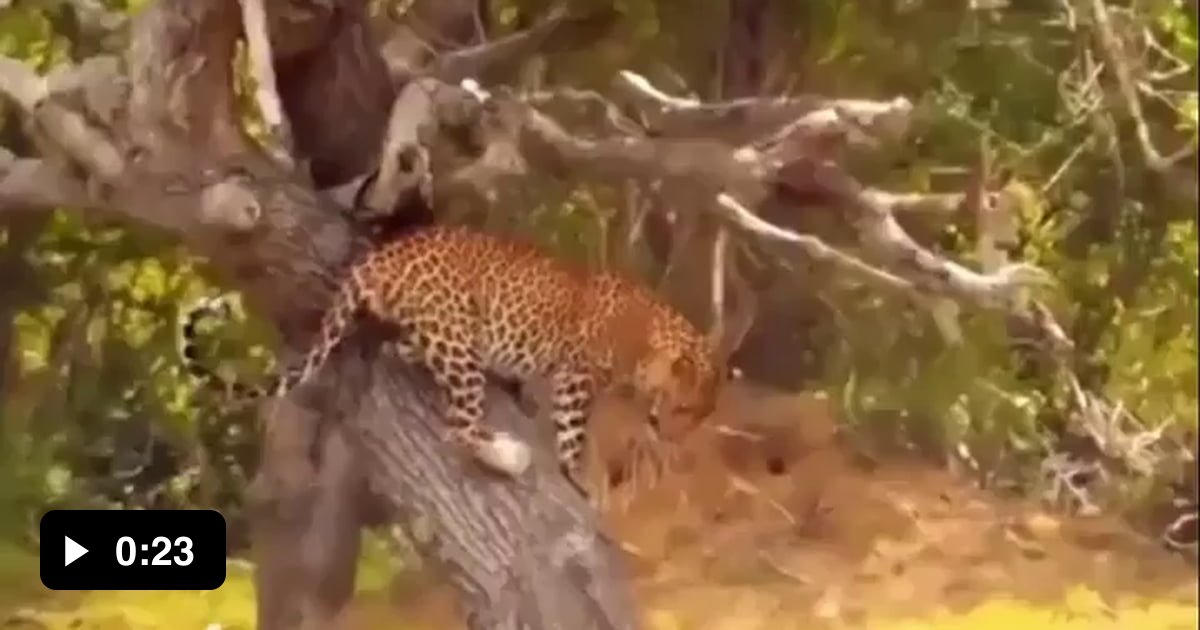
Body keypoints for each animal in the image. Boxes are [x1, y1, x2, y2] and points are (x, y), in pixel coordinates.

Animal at [180, 224, 728, 496]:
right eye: (684, 409)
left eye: (701, 415)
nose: (677, 437)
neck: (652, 335)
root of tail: (384, 256)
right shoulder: (577, 376)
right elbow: (573, 431)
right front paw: (579, 475)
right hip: (457, 342)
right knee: (458, 427)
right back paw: (507, 454)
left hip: (441, 336)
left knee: (417, 364)